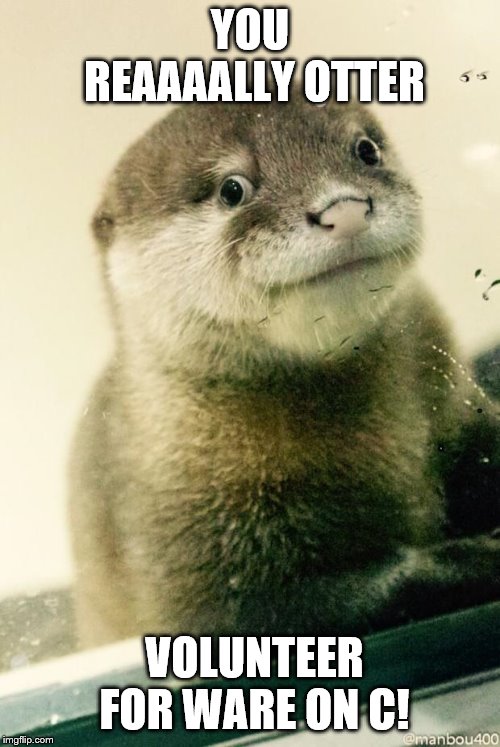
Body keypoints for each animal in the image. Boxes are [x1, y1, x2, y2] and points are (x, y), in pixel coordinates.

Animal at [70, 97, 500, 647]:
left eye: (366, 150)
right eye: (232, 189)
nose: (344, 209)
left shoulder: (455, 399)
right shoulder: (182, 553)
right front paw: (477, 559)